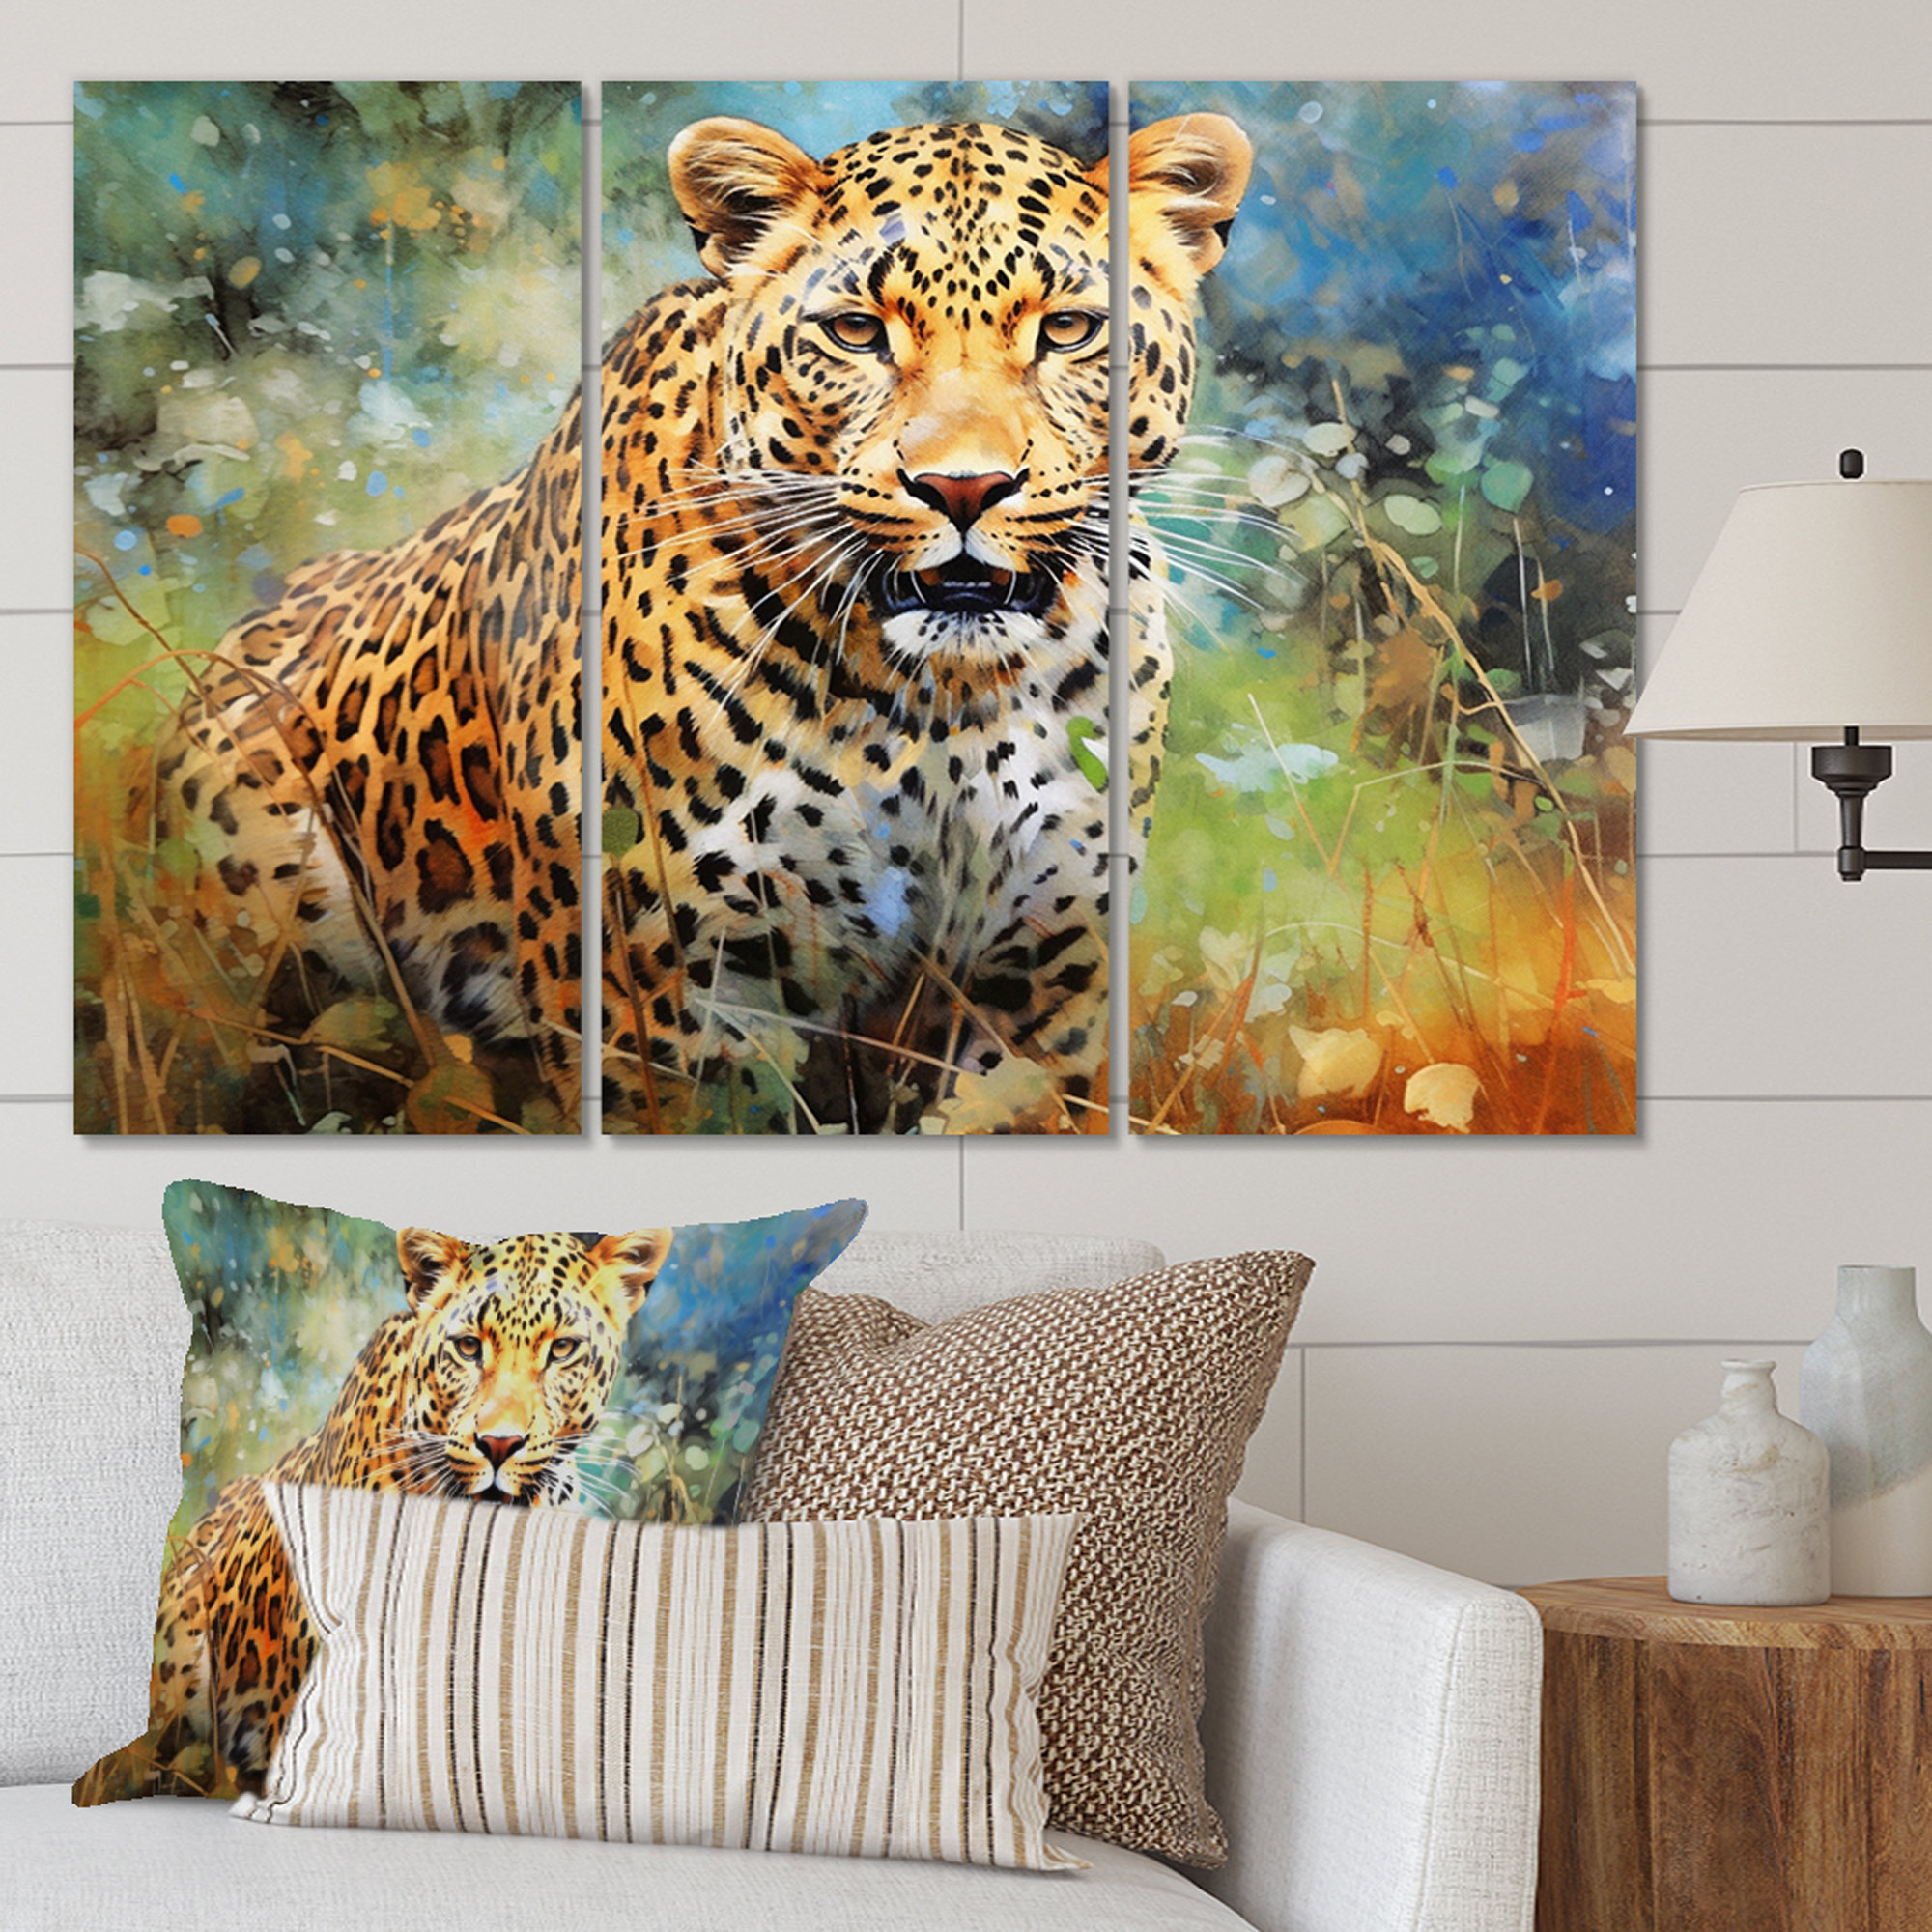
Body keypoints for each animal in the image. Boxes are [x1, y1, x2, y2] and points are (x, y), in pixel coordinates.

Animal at [600, 111, 1252, 1133]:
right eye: (856, 332)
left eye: (1067, 329)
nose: (965, 487)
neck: (945, 705)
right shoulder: (671, 1008)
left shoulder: (1040, 982)